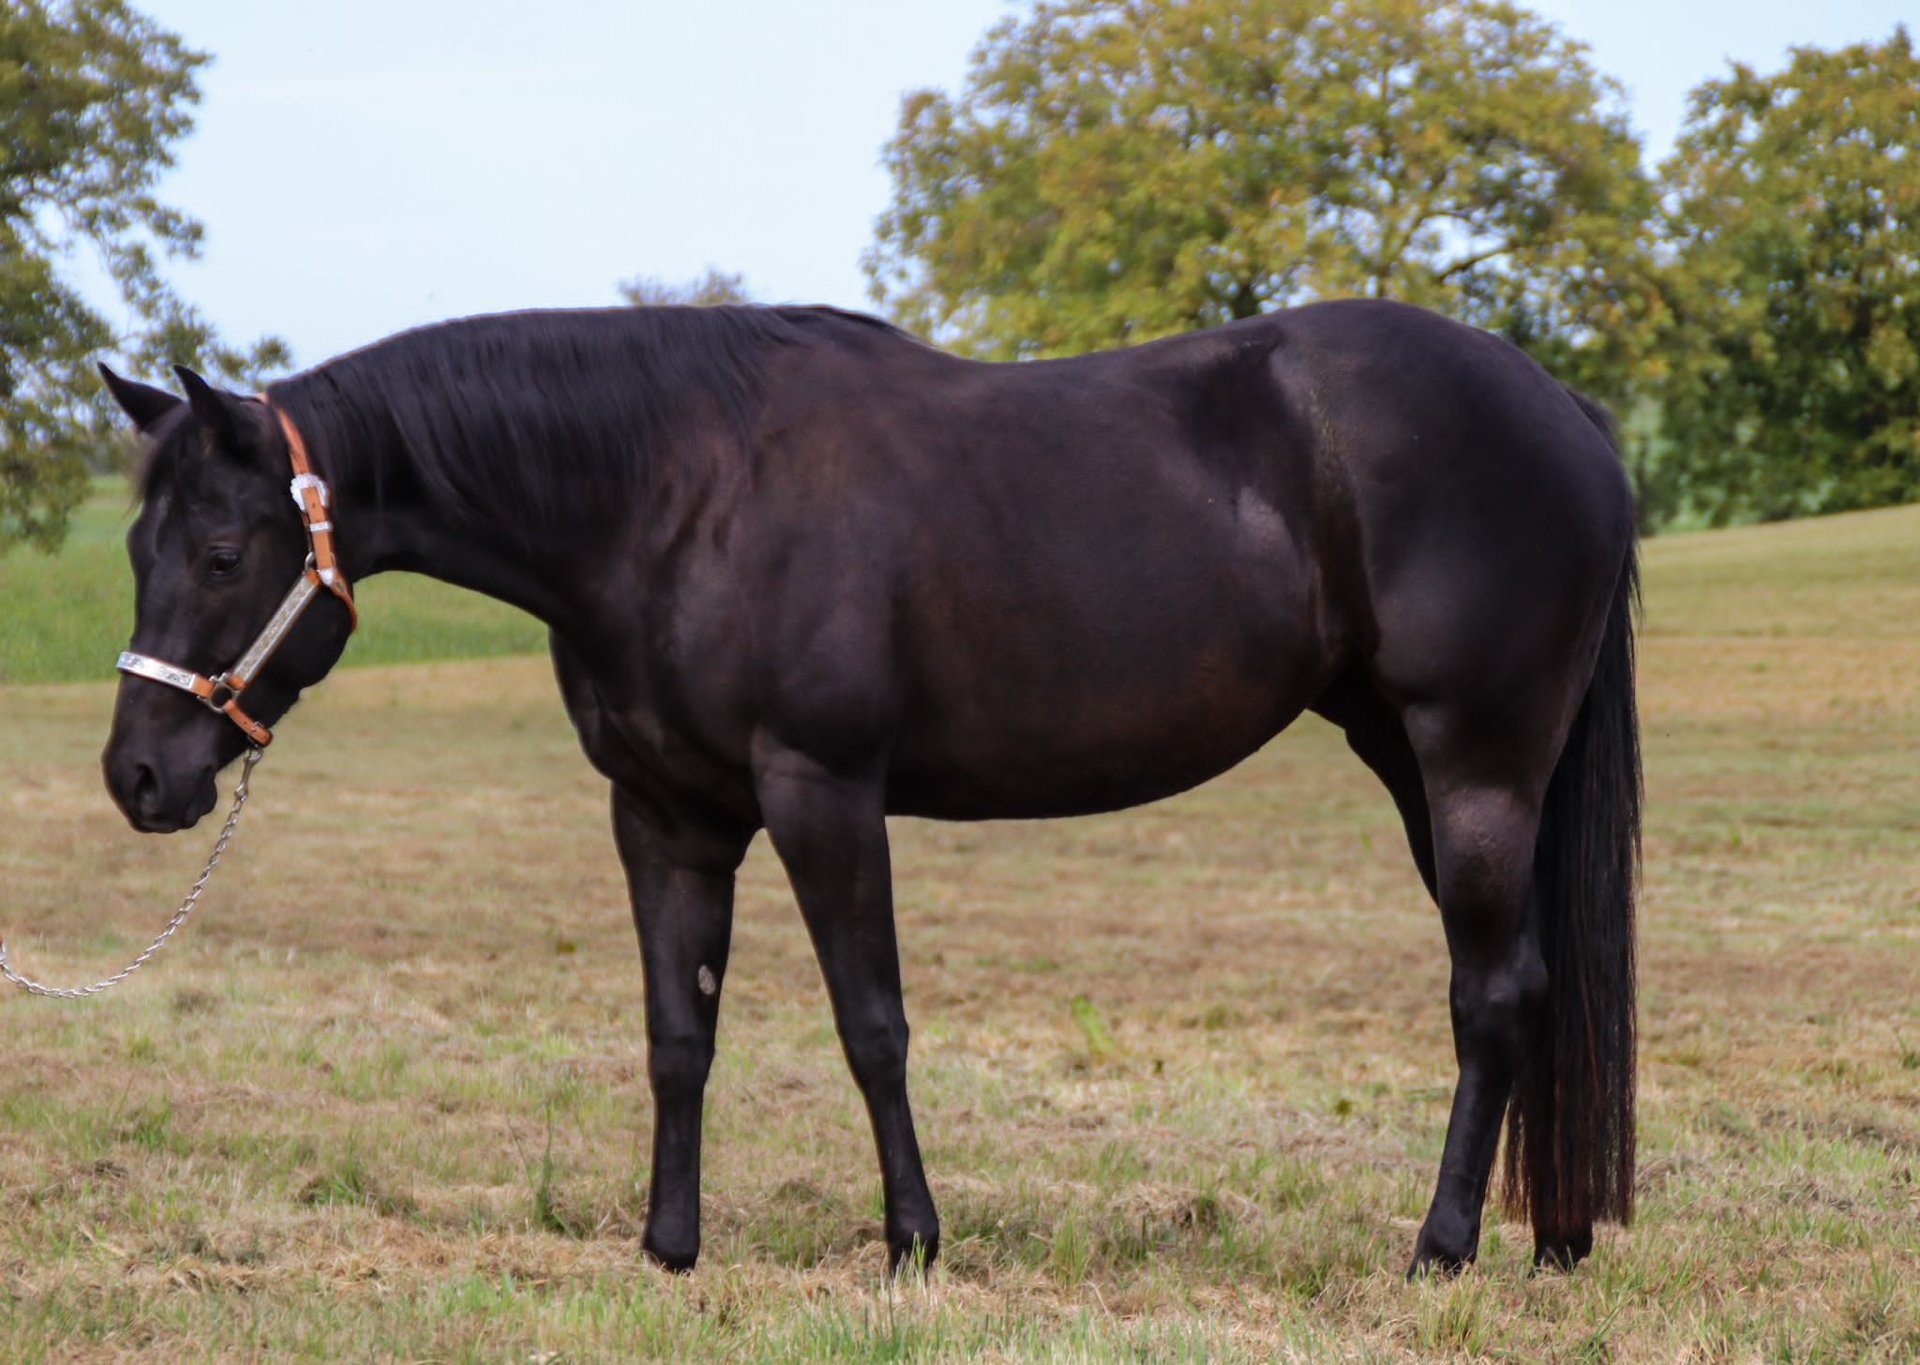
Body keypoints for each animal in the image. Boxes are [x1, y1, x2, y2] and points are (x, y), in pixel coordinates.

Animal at [97, 297, 1639, 1278]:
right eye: (132, 546)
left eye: (224, 552)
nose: (140, 775)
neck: (672, 495)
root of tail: (1560, 406)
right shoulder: (665, 815)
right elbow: (678, 1034)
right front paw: (670, 1248)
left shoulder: (822, 789)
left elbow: (871, 1026)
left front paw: (913, 1243)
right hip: (1416, 762)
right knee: (1529, 988)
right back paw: (1550, 1241)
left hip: (1474, 763)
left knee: (1492, 996)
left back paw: (1441, 1251)